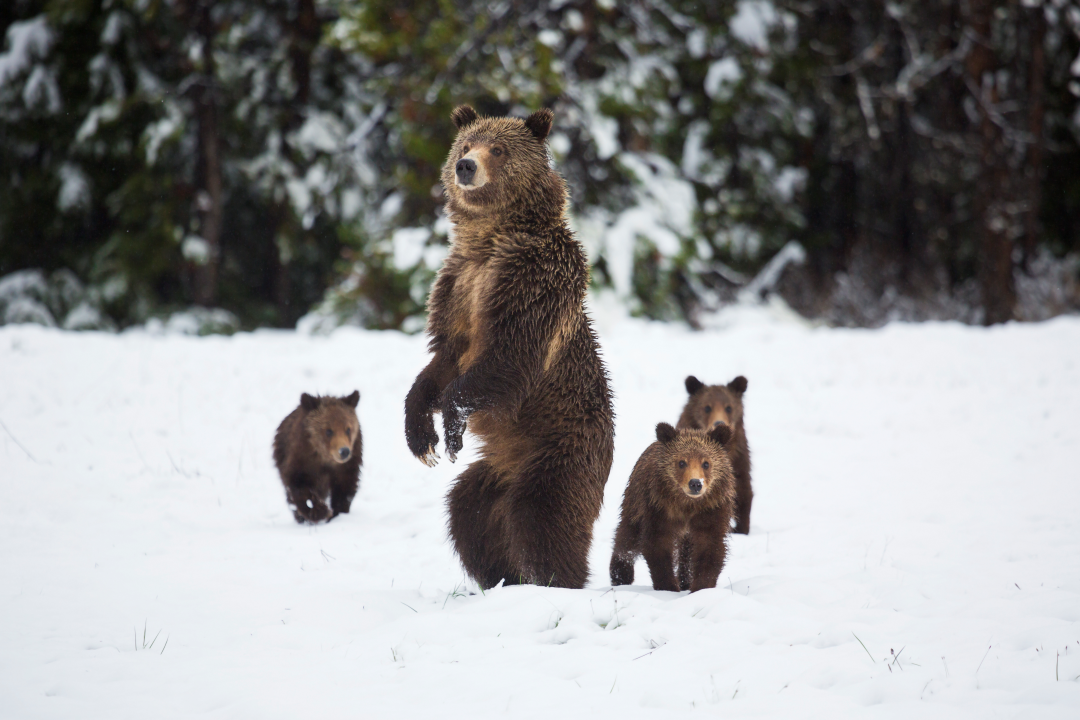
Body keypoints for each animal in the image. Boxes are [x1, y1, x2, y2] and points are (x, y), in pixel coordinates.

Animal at [273, 391, 362, 524]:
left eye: (348, 429)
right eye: (328, 430)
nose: (344, 451)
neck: (323, 458)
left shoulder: (347, 467)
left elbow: (344, 489)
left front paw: (337, 514)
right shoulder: (300, 461)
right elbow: (298, 486)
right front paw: (319, 511)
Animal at [404, 105, 614, 590]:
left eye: (498, 149)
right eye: (466, 144)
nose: (466, 167)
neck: (490, 240)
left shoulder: (530, 283)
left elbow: (507, 357)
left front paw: (452, 426)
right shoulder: (458, 287)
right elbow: (441, 361)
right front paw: (422, 438)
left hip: (559, 450)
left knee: (542, 517)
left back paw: (557, 581)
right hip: (496, 469)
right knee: (469, 514)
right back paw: (501, 579)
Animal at [609, 422, 737, 592]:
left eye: (706, 463)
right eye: (682, 462)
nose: (695, 483)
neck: (687, 504)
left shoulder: (711, 509)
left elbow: (709, 546)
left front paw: (701, 587)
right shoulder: (659, 508)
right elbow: (657, 544)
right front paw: (668, 586)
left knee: (686, 552)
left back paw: (685, 580)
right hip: (634, 500)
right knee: (628, 536)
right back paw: (620, 574)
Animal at [676, 375, 753, 534]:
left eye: (728, 407)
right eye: (707, 407)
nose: (719, 423)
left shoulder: (738, 459)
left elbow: (742, 490)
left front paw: (742, 529)